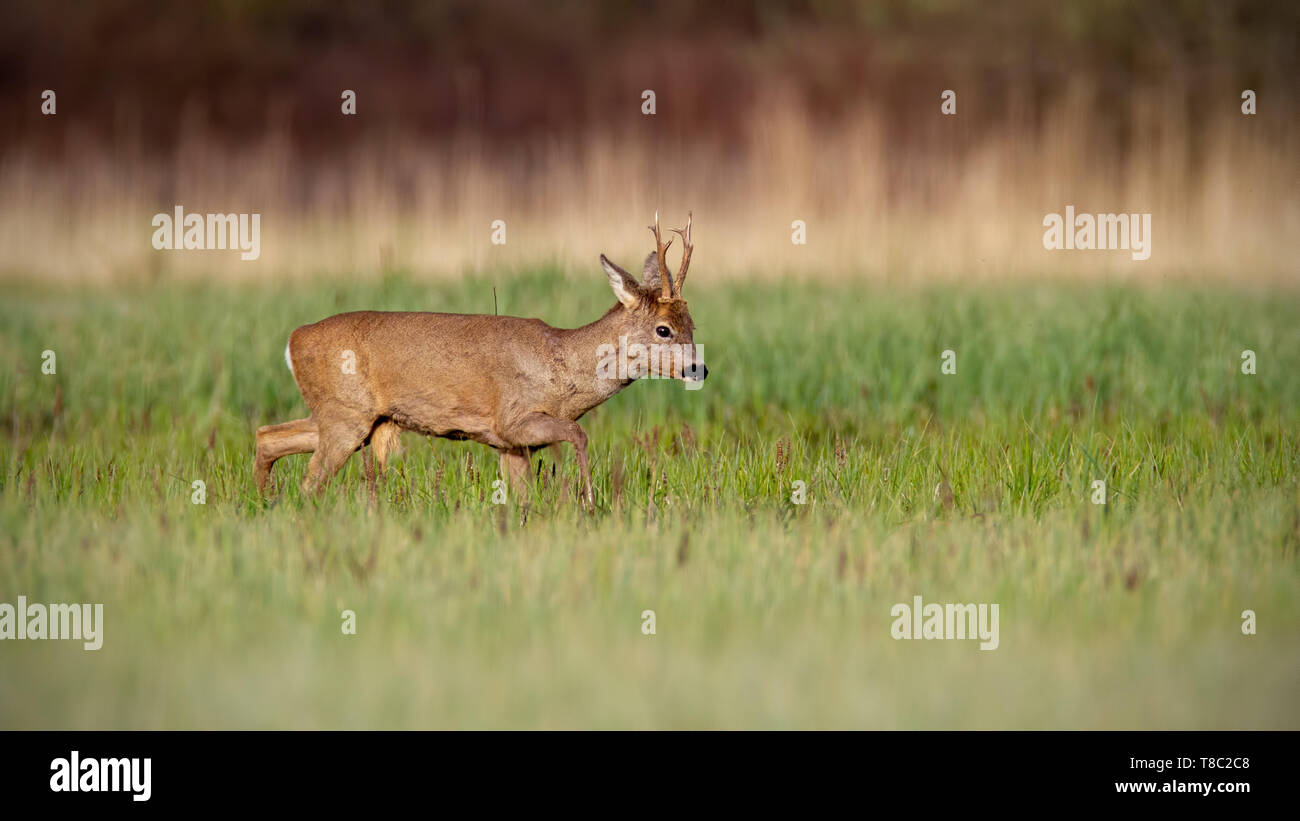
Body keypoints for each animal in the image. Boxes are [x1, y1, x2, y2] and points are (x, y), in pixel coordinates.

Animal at [254, 212, 706, 510]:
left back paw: (261, 504)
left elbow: (523, 500)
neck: (561, 368)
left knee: (267, 436)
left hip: (349, 417)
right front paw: (591, 501)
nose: (698, 368)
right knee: (310, 481)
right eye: (663, 330)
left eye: (692, 324)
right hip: (346, 414)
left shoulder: (513, 445)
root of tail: (293, 340)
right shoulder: (513, 418)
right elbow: (578, 435)